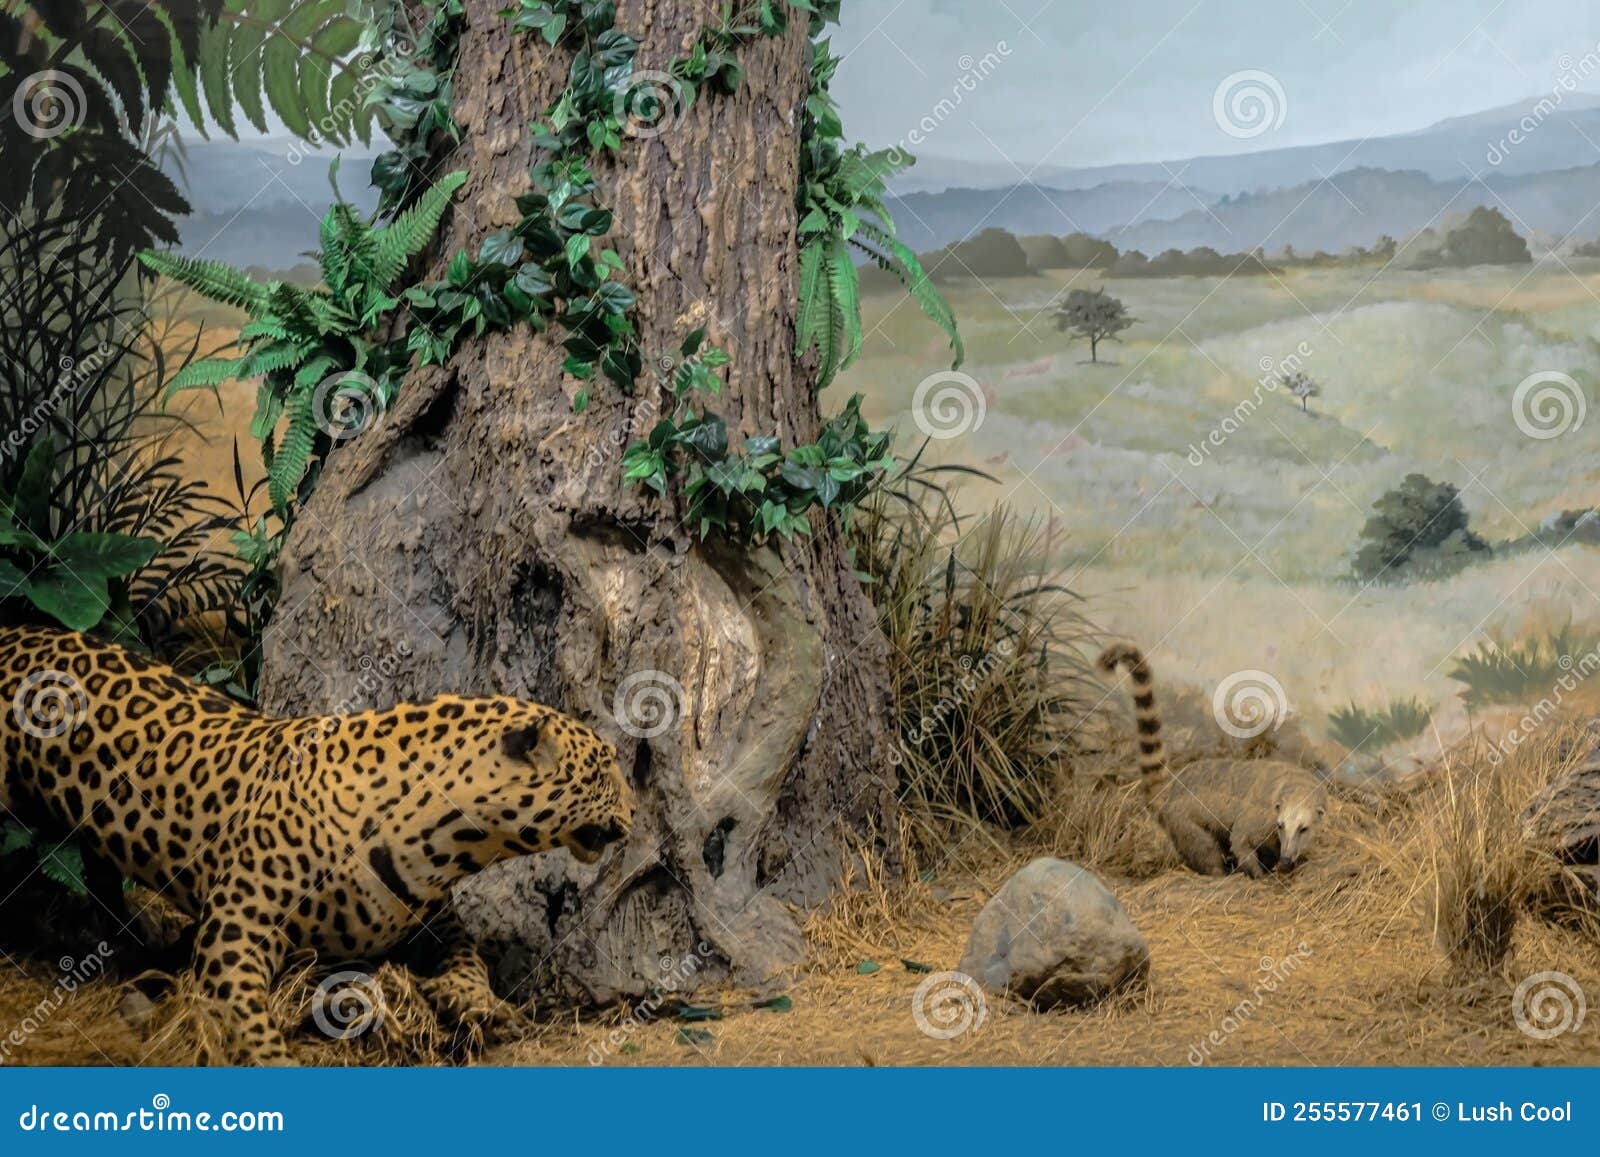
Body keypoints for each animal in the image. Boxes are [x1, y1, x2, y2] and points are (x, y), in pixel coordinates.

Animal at [0, 624, 635, 1064]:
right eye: (604, 770)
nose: (634, 814)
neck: (449, 840)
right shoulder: (238, 925)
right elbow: (242, 1007)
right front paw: (269, 1057)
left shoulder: (434, 918)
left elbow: (468, 958)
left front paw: (479, 1003)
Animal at [1098, 643, 1326, 878]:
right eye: (1281, 826)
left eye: (1304, 829)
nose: (1286, 860)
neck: (1294, 786)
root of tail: (1170, 791)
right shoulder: (1261, 818)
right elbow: (1241, 839)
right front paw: (1261, 874)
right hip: (1183, 822)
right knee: (1205, 849)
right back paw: (1218, 873)